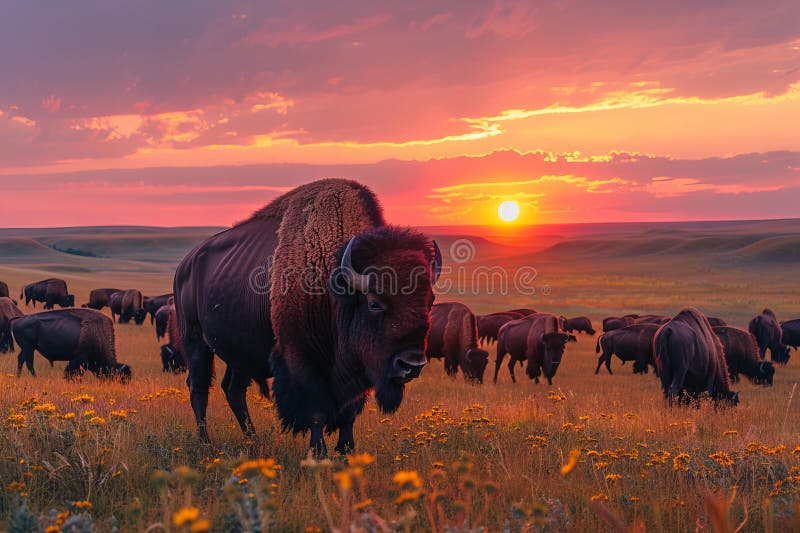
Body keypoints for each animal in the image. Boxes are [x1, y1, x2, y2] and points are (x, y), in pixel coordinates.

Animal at [174, 179, 441, 457]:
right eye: (374, 303)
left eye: (430, 301)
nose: (411, 365)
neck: (332, 283)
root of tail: (185, 265)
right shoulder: (302, 361)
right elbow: (316, 412)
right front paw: (319, 454)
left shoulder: (356, 370)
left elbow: (349, 414)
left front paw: (346, 451)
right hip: (195, 340)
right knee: (199, 388)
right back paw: (206, 443)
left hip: (239, 352)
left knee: (233, 390)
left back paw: (253, 441)